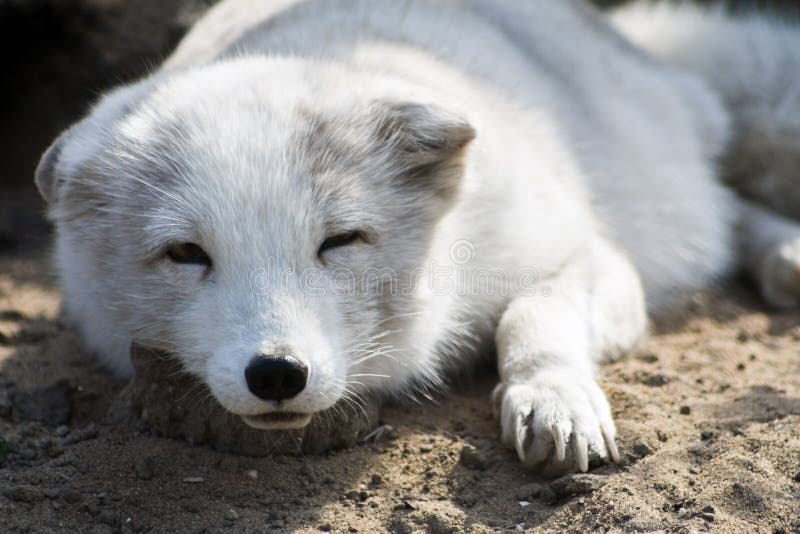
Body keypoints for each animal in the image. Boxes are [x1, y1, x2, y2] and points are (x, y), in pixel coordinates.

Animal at [35, 0, 800, 476]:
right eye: (186, 254)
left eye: (340, 241)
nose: (278, 373)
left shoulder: (592, 257)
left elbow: (532, 314)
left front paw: (553, 400)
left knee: (726, 197)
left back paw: (784, 253)